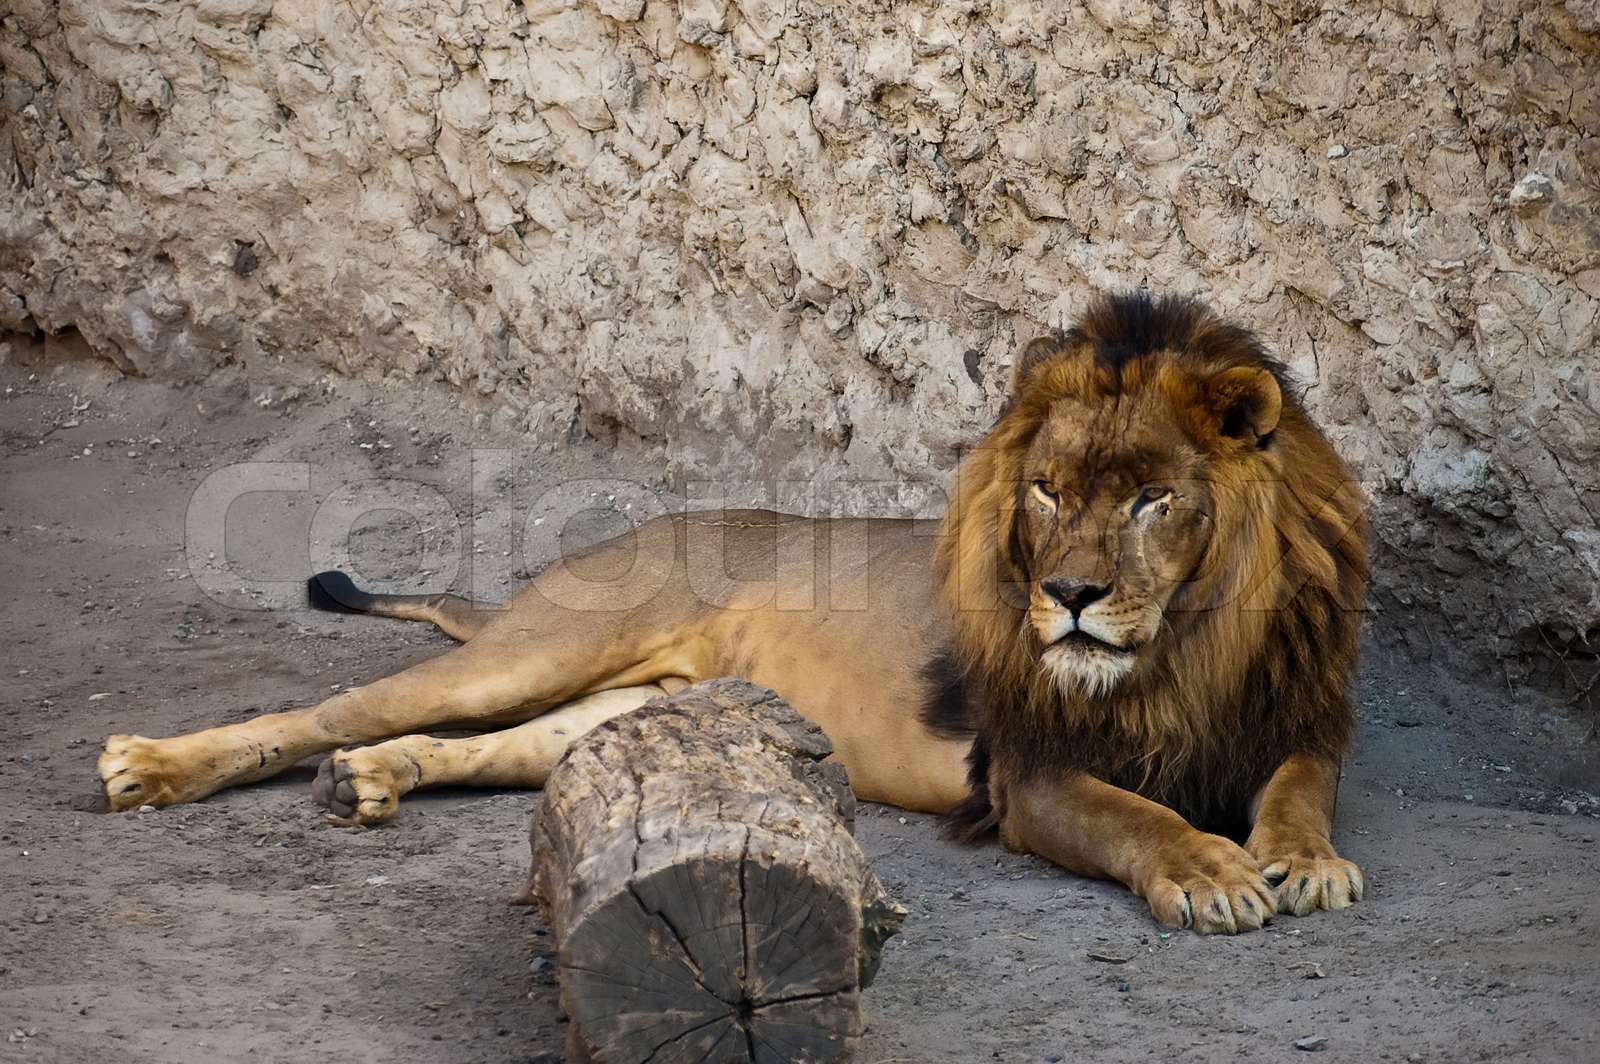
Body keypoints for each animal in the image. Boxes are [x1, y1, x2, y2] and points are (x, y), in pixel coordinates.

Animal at [99, 290, 1368, 934]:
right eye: (1048, 490)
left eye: (1155, 497)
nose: (1067, 596)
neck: (1190, 648)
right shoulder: (1030, 771)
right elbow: (1132, 817)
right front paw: (1209, 870)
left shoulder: (1298, 721)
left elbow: (1301, 790)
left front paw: (1302, 860)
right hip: (540, 648)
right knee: (328, 708)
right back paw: (154, 763)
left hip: (616, 708)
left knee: (478, 746)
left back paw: (372, 778)